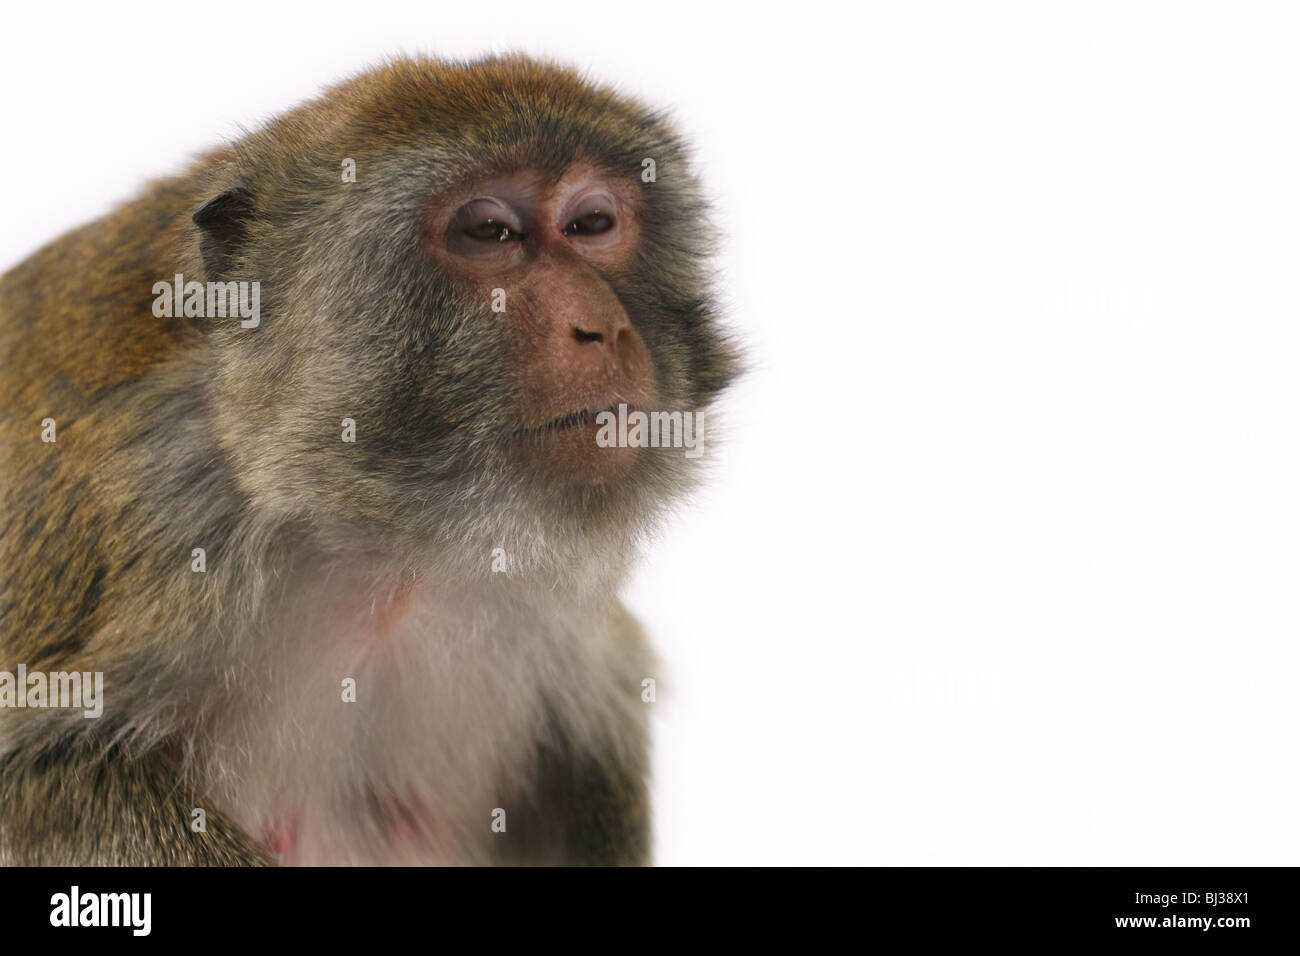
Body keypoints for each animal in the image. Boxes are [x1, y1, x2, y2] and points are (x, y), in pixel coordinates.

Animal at [0, 55, 739, 865]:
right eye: (489, 231)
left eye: (591, 224)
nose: (600, 325)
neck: (385, 535)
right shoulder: (161, 508)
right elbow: (41, 769)